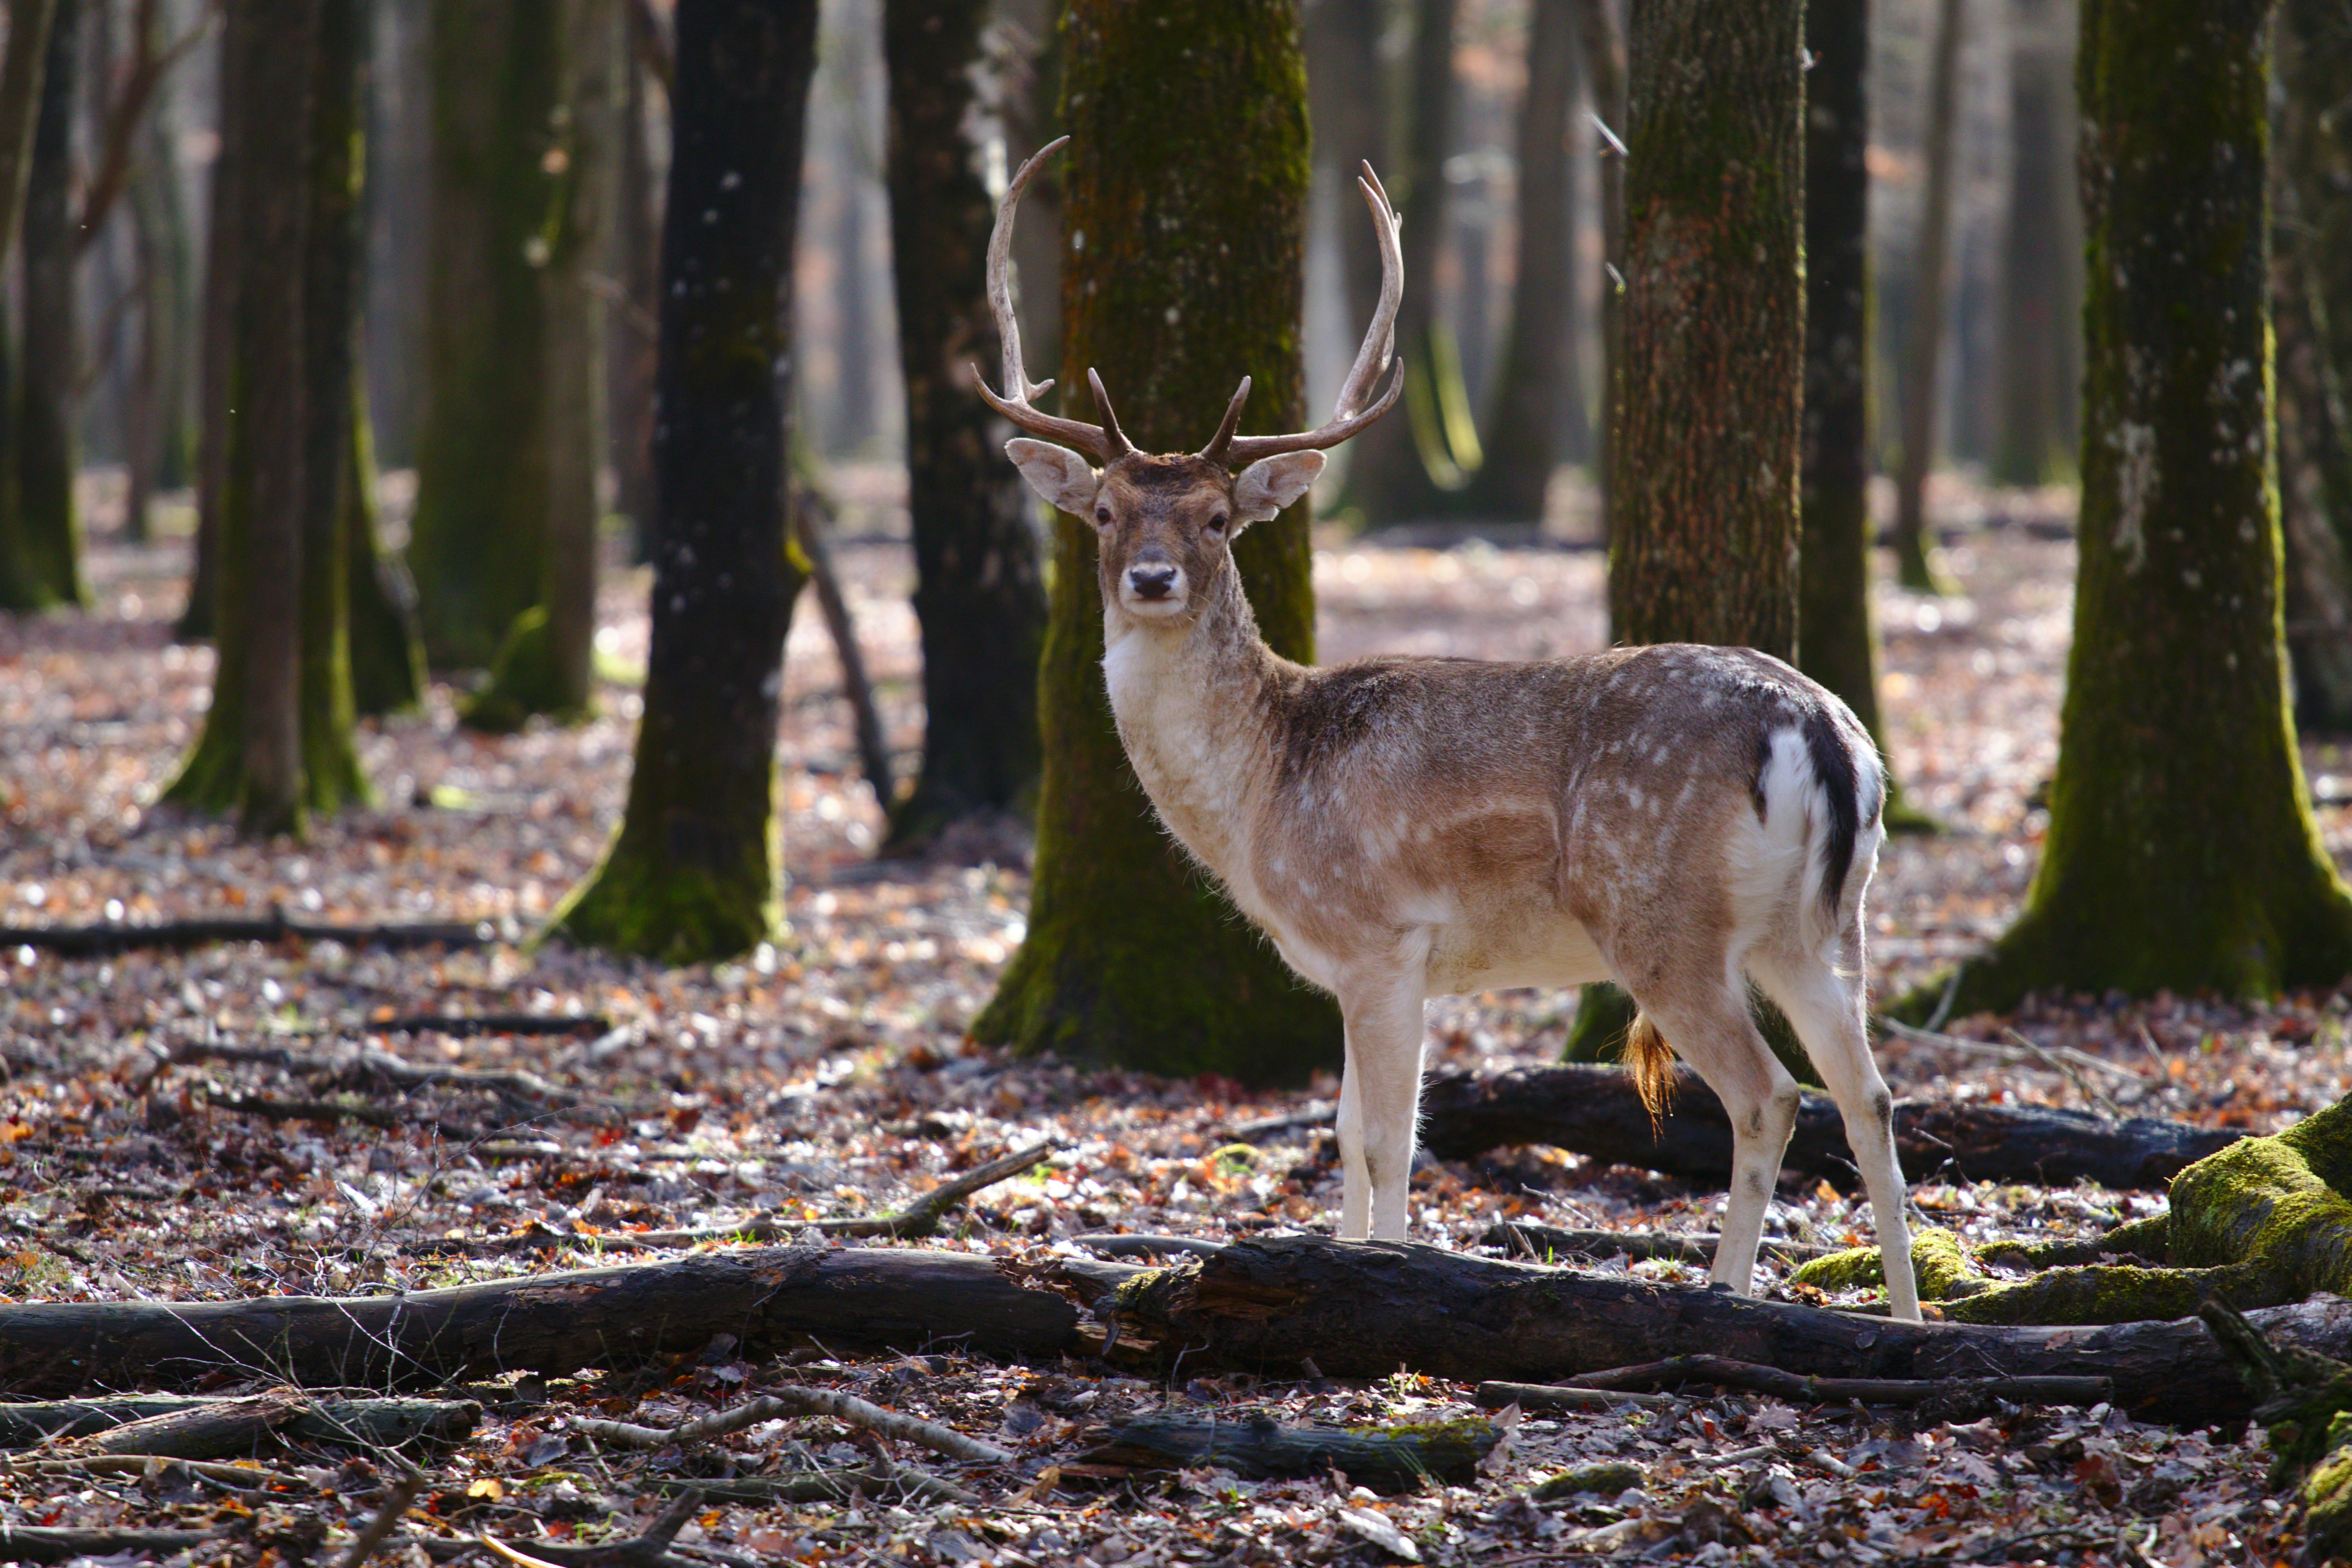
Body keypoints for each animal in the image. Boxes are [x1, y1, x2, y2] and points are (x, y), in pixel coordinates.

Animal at [976, 138, 1919, 1321]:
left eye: (1217, 520)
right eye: (1103, 513)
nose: (1151, 578)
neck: (1260, 792)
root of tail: (1819, 729)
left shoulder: (1379, 936)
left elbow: (1388, 1139)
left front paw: (1382, 1274)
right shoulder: (1370, 966)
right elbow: (1345, 1131)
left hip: (1659, 913)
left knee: (1769, 1094)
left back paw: (1729, 1290)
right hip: (1825, 921)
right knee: (1870, 1094)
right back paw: (1908, 1314)